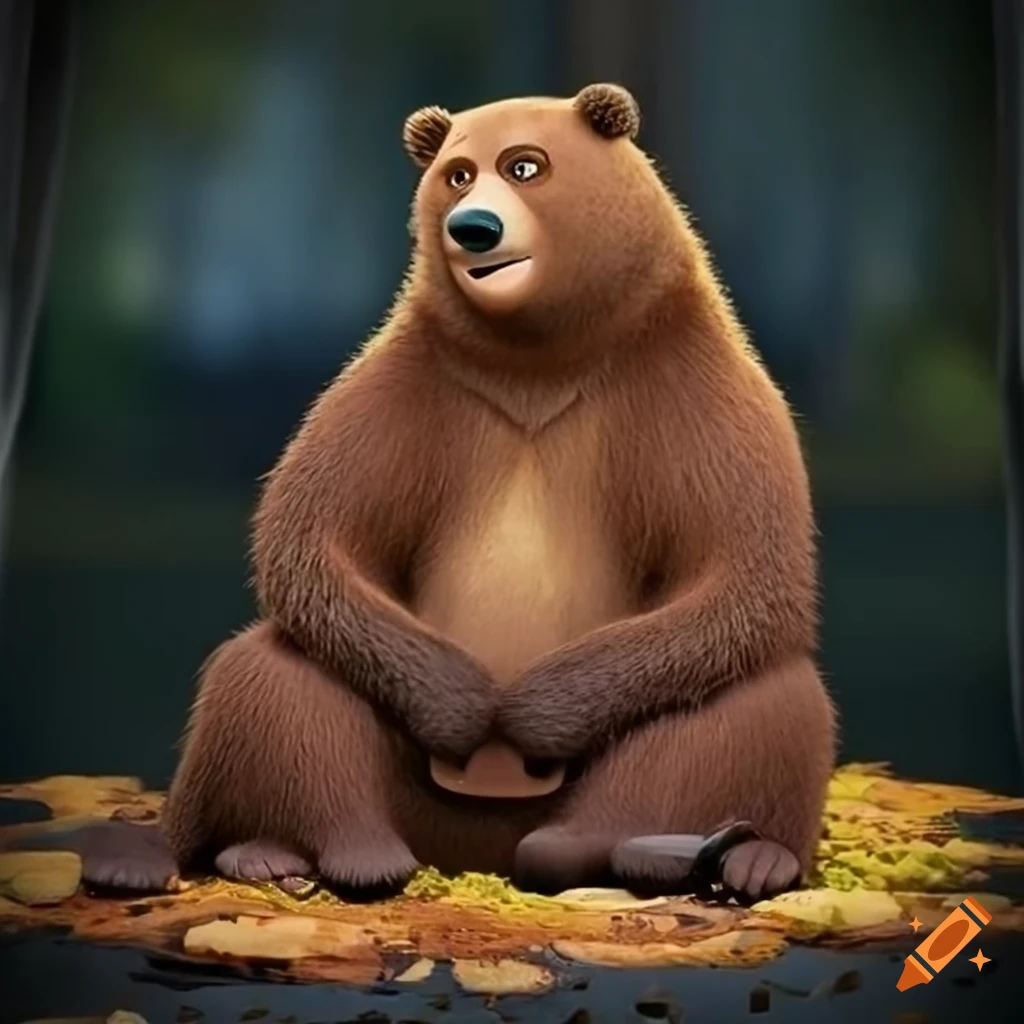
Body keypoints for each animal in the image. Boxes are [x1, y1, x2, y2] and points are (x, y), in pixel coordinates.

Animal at [80, 83, 836, 902]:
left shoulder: (693, 385)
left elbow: (745, 572)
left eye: (526, 165)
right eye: (458, 173)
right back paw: (304, 850)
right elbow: (312, 537)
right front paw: (465, 706)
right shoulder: (408, 382)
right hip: (401, 787)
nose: (473, 228)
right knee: (266, 676)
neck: (539, 361)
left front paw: (536, 712)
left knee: (763, 701)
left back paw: (681, 852)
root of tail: (477, 849)